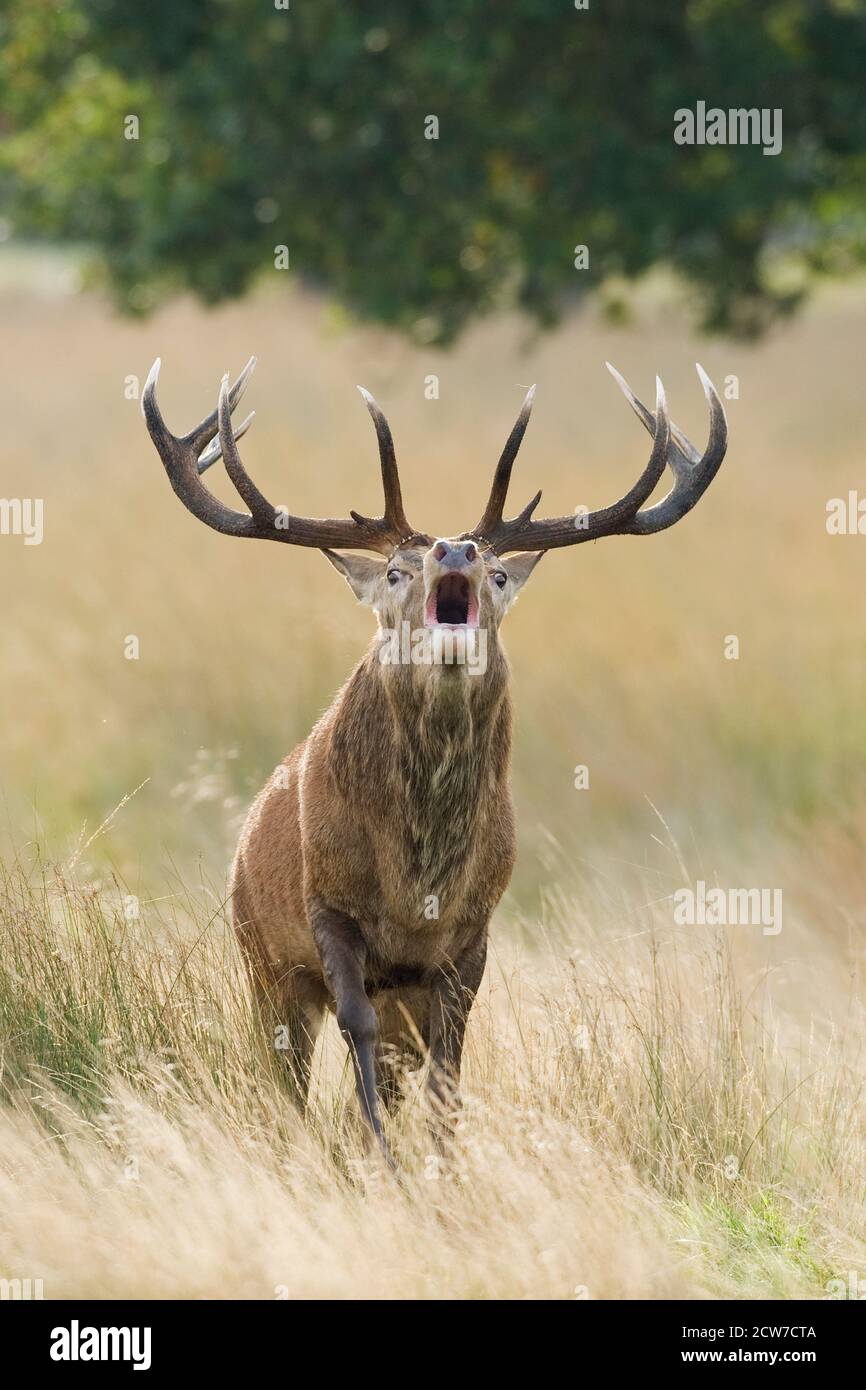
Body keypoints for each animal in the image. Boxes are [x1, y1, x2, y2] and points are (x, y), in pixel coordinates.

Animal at [142, 358, 727, 1164]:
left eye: (500, 573)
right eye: (396, 571)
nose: (457, 549)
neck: (416, 879)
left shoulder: (471, 935)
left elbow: (450, 1064)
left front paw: (444, 1168)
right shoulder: (327, 908)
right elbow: (353, 1033)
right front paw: (381, 1158)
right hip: (261, 958)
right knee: (285, 1073)